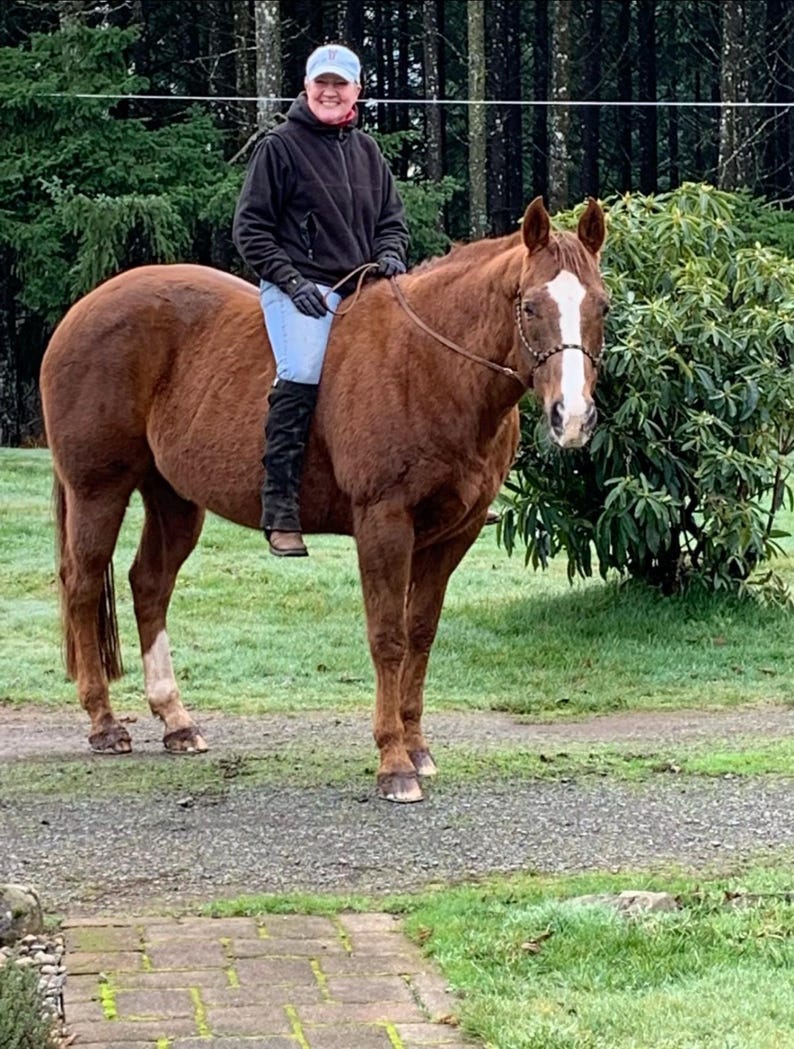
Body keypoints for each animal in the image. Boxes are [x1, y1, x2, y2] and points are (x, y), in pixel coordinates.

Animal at [40, 196, 608, 803]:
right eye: (529, 305)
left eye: (601, 305)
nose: (572, 417)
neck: (428, 365)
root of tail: (84, 309)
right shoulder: (384, 523)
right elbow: (388, 637)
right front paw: (393, 761)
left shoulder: (452, 535)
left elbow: (421, 634)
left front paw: (417, 746)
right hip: (98, 490)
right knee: (82, 584)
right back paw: (103, 723)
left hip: (174, 499)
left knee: (149, 585)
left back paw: (176, 720)